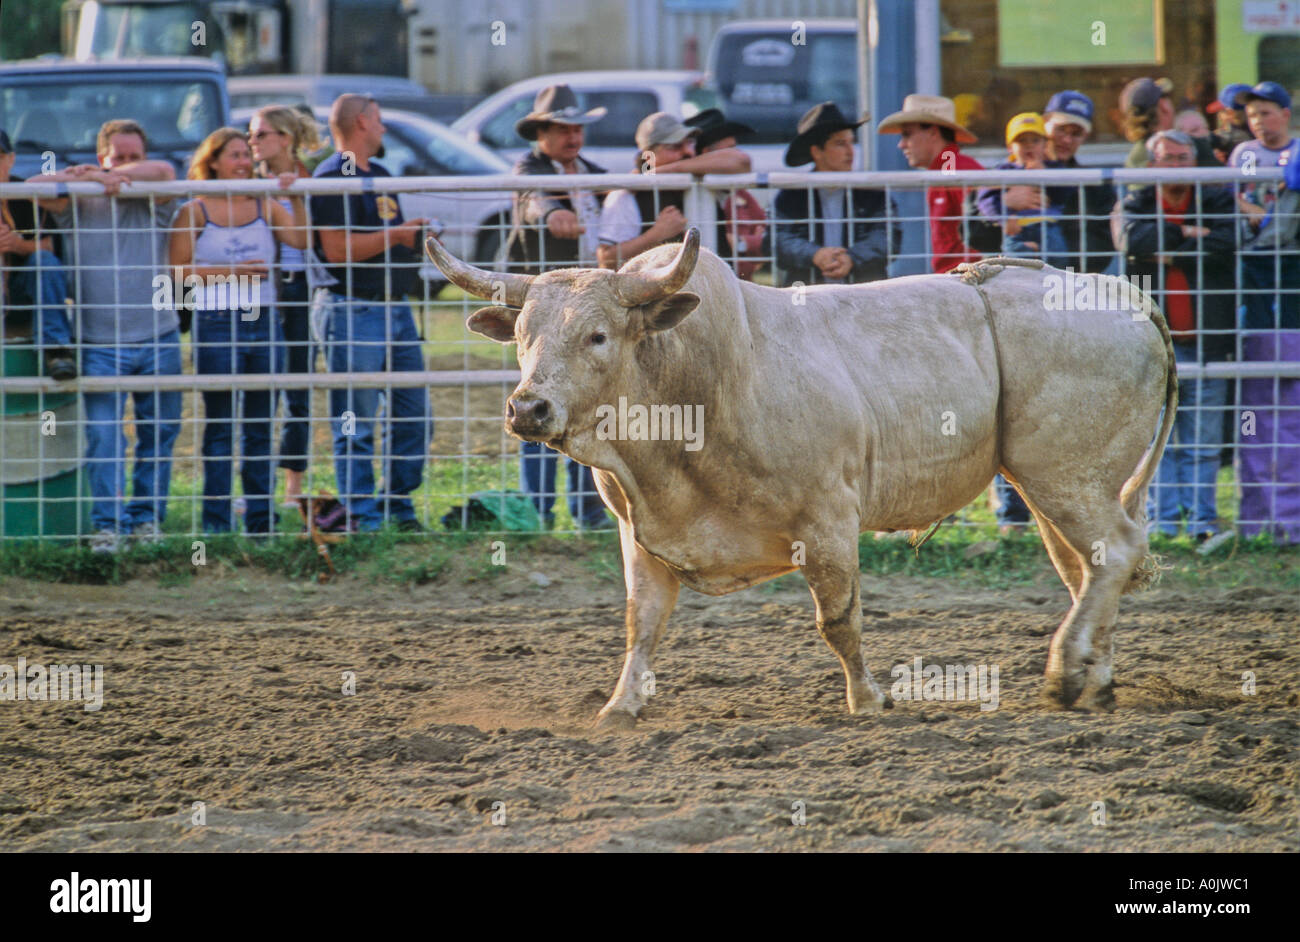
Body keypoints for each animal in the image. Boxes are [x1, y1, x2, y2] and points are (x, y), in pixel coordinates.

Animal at [425, 228, 1177, 729]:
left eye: (598, 335)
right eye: (522, 335)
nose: (527, 408)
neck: (695, 386)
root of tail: (1122, 295)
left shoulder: (828, 521)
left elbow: (838, 620)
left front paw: (868, 700)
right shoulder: (641, 533)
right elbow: (644, 621)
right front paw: (620, 706)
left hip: (1067, 477)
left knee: (1116, 555)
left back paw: (1063, 674)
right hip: (1047, 483)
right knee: (1091, 570)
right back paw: (1094, 680)